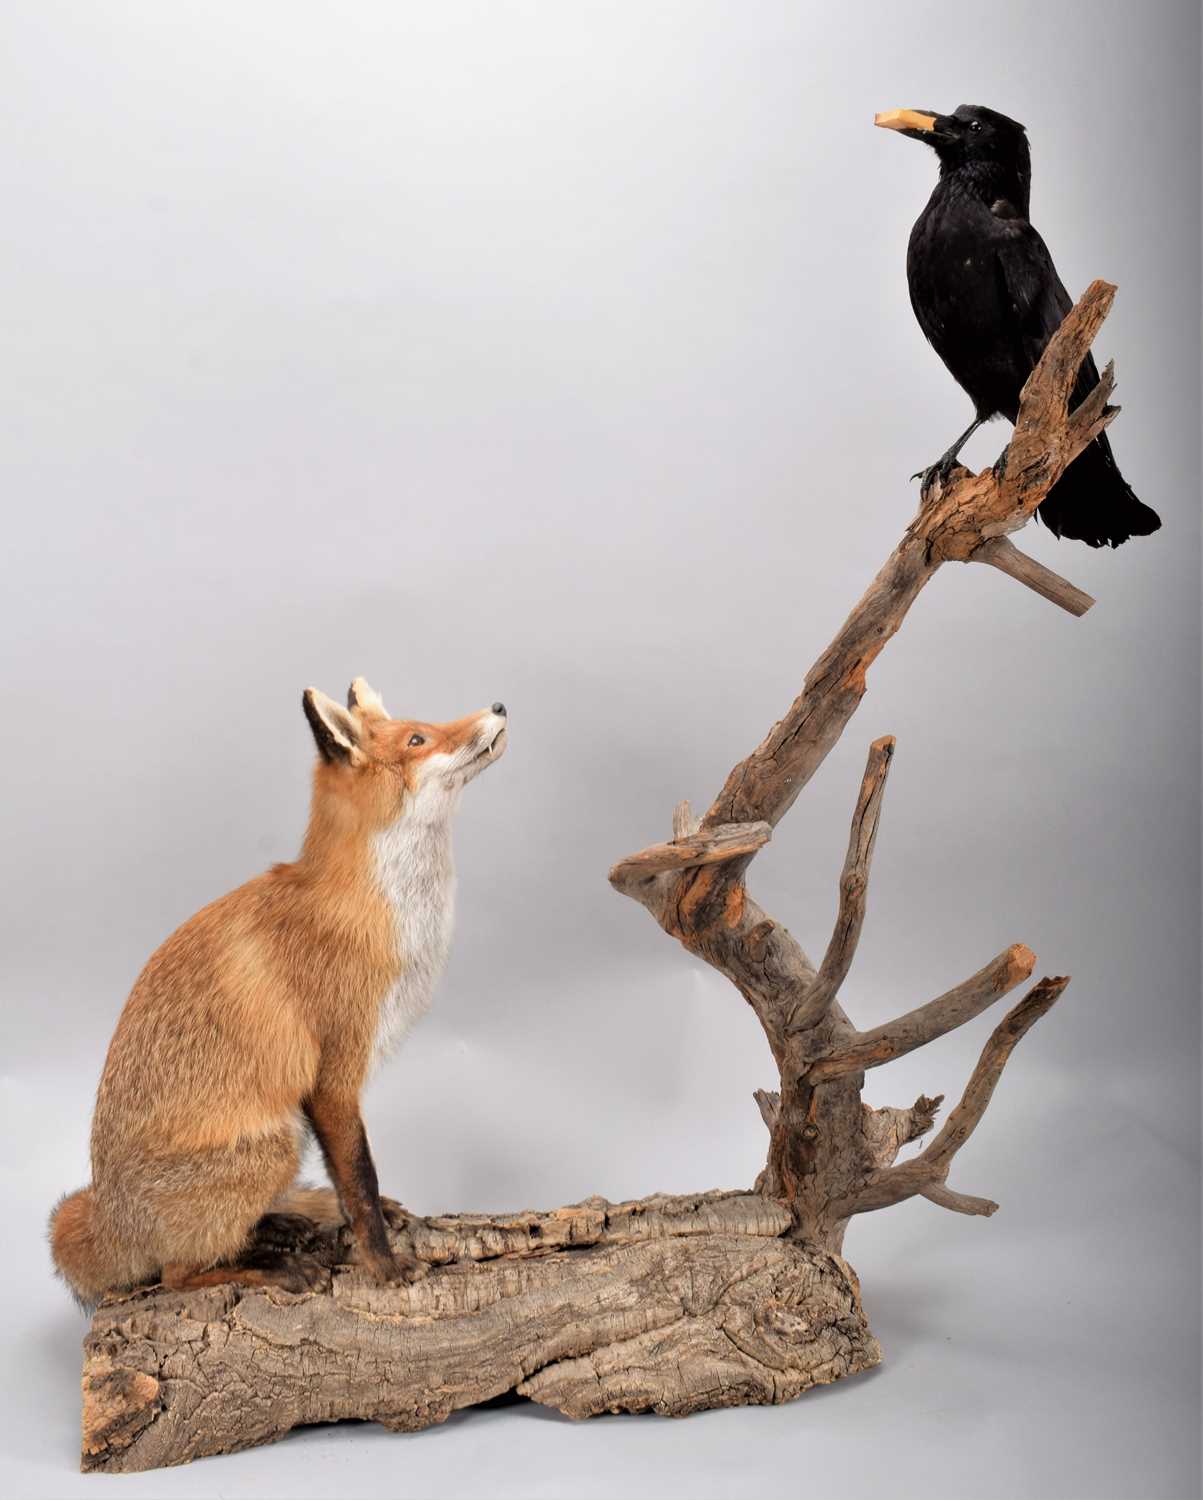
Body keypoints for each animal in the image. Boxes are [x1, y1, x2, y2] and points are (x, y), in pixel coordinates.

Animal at [49, 678, 507, 1306]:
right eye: (418, 738)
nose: (499, 706)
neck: (378, 911)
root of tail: (108, 1220)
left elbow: (350, 1185)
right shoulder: (334, 1074)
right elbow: (361, 1181)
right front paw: (383, 1264)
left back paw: (279, 1223)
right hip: (275, 1145)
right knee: (176, 1274)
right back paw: (270, 1267)